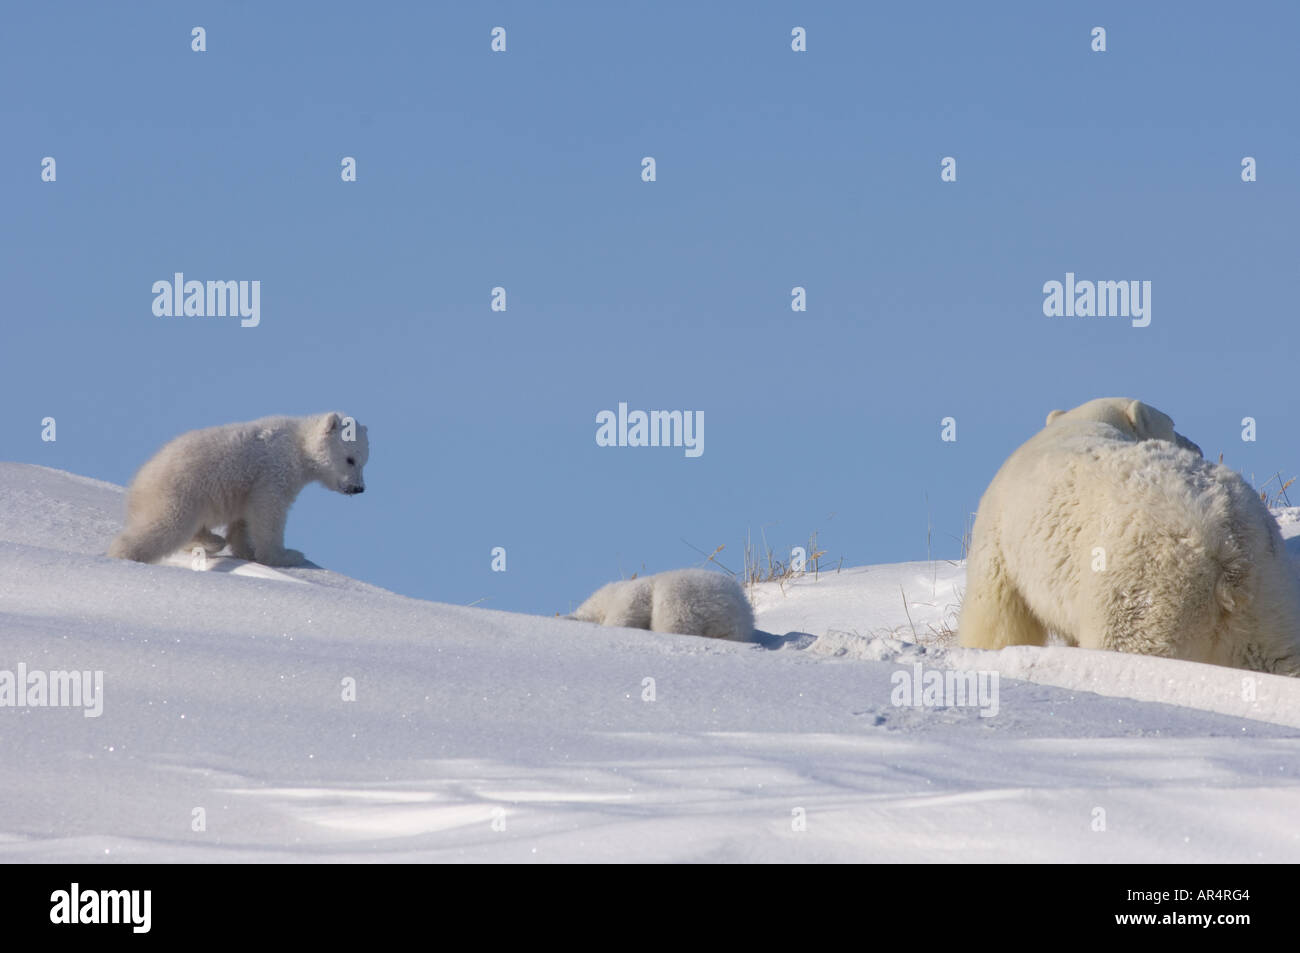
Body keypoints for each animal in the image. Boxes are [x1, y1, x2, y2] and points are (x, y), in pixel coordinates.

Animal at [108, 412, 368, 567]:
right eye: (350, 460)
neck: (297, 446)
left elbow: (245, 518)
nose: (359, 488)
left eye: (364, 461)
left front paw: (246, 551)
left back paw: (211, 540)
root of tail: (138, 483)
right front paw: (287, 555)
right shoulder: (273, 471)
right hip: (180, 491)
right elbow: (268, 512)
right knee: (165, 526)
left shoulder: (249, 486)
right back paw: (123, 555)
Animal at [958, 397, 1300, 675]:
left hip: (1146, 576)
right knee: (1274, 654)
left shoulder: (997, 528)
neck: (1084, 423)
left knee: (1132, 640)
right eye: (1173, 425)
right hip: (1267, 586)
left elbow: (996, 611)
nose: (1197, 445)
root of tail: (1227, 539)